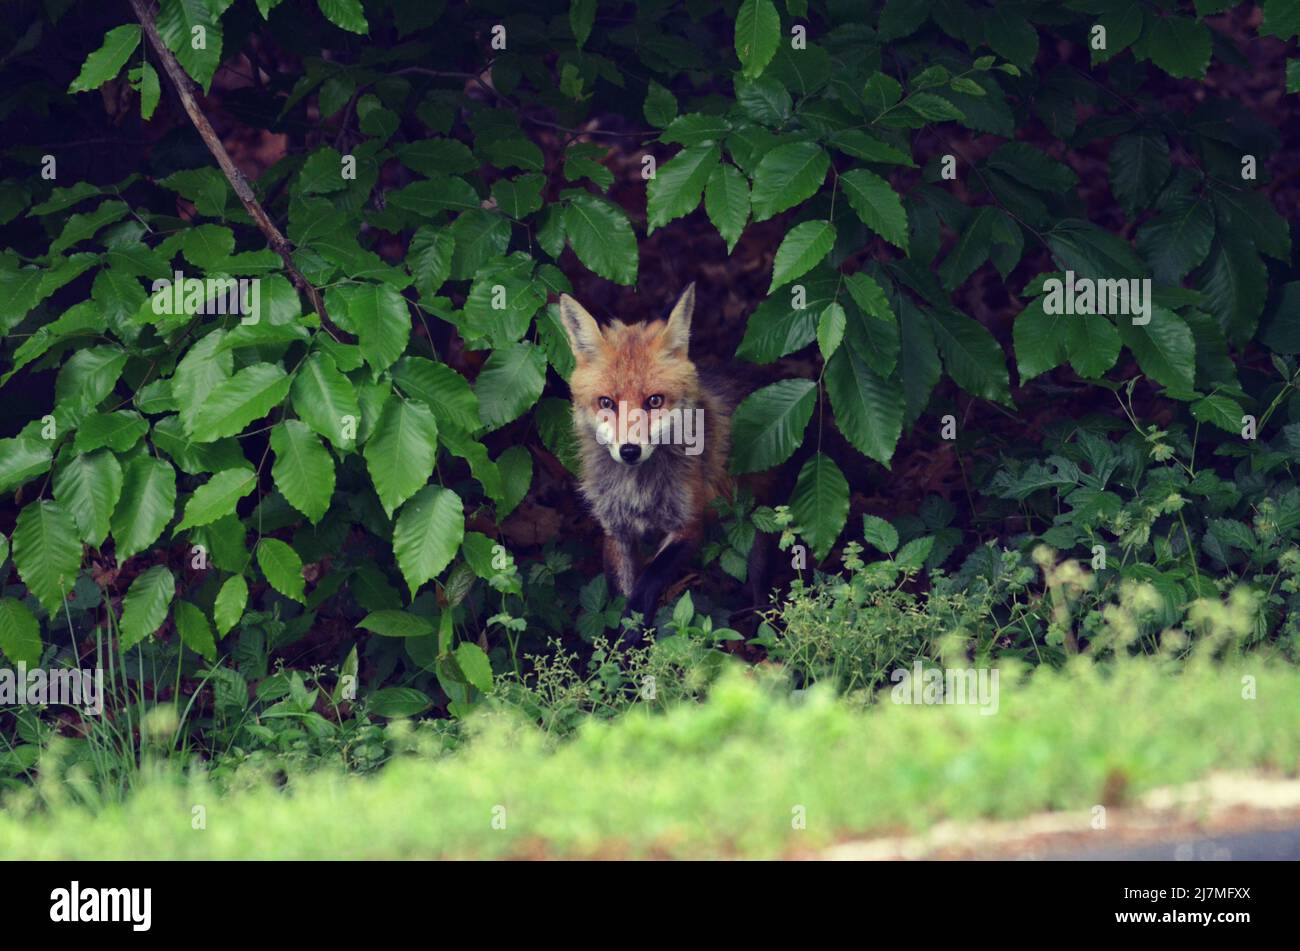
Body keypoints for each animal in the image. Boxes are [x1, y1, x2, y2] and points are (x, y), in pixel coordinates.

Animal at [558, 283, 740, 636]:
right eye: (606, 402)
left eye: (654, 401)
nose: (629, 450)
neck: (638, 489)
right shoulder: (615, 530)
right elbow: (620, 593)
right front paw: (616, 648)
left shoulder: (689, 521)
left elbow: (647, 583)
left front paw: (632, 638)